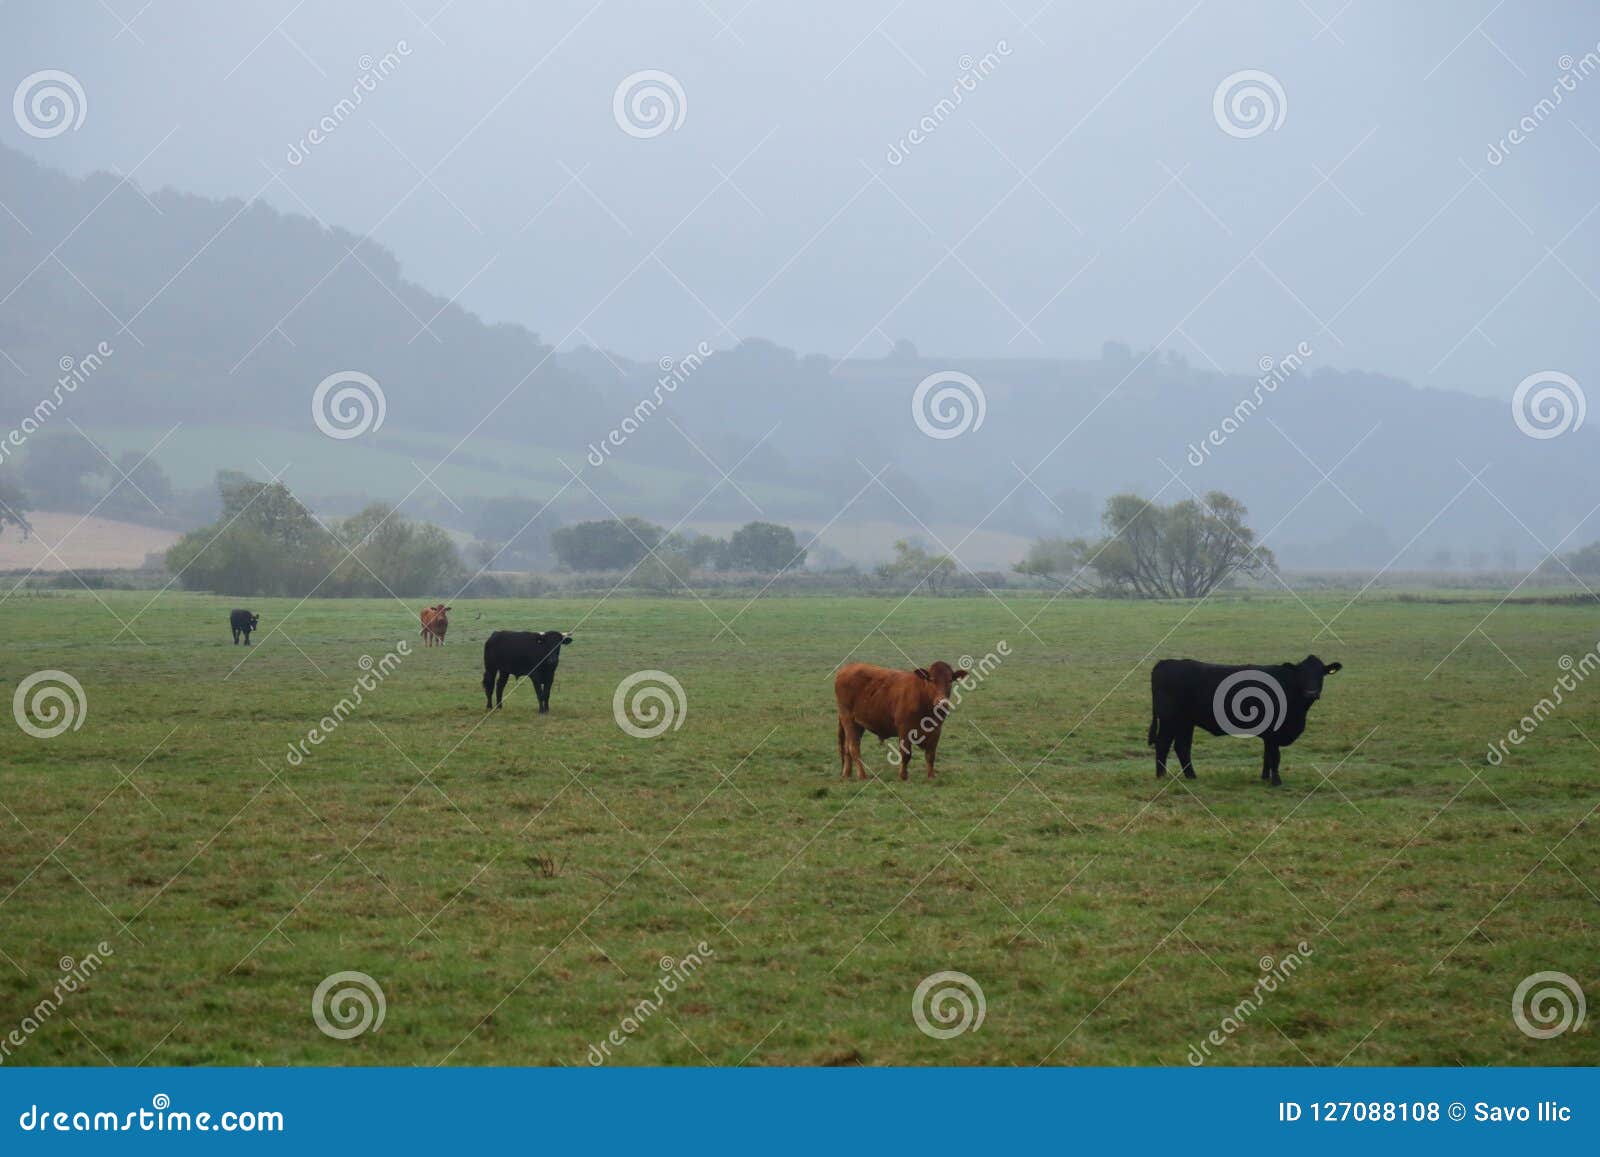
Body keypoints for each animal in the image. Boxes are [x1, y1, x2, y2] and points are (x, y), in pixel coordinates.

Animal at [834, 660, 974, 781]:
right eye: (931, 680)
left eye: (950, 680)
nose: (942, 702)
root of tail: (847, 668)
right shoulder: (904, 729)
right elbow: (906, 754)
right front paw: (903, 776)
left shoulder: (936, 731)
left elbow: (930, 755)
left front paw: (931, 775)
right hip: (848, 719)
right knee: (853, 747)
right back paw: (862, 775)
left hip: (858, 723)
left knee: (847, 748)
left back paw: (847, 774)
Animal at [1148, 655, 1343, 786]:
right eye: (1301, 674)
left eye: (1320, 674)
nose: (1311, 693)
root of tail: (1165, 662)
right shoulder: (1274, 731)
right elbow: (1275, 755)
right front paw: (1276, 781)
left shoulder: (1268, 733)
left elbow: (1267, 754)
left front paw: (1265, 777)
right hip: (1170, 720)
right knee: (1163, 744)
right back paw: (1161, 776)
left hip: (1185, 722)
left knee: (1182, 747)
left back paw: (1191, 776)